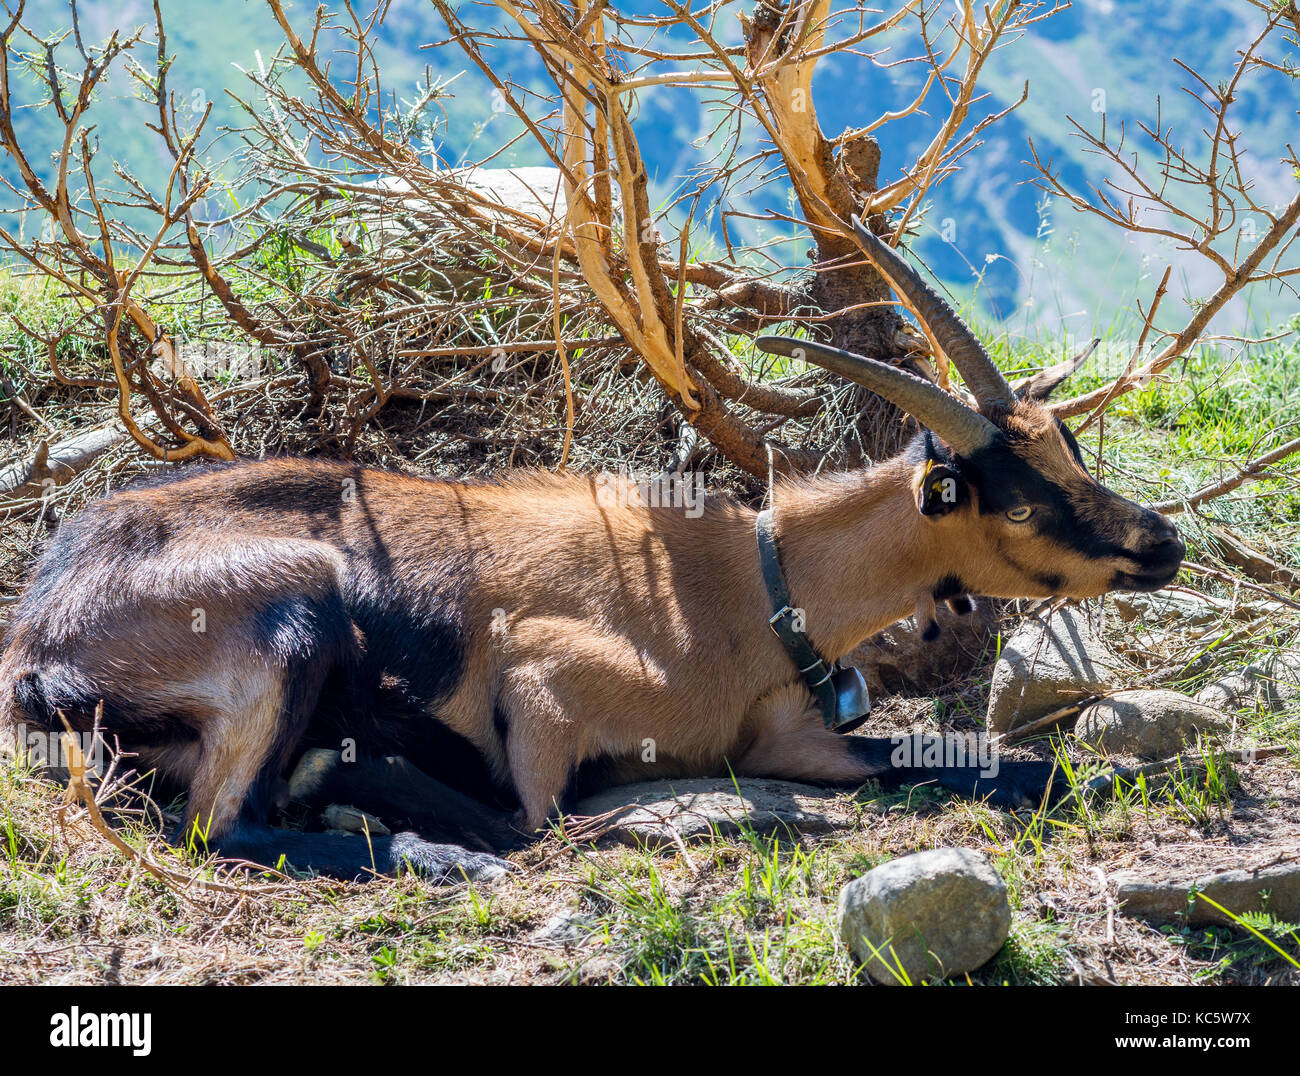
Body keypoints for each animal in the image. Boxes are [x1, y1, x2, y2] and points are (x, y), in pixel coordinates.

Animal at [0, 219, 1185, 882]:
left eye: (1070, 448)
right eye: (1019, 506)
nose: (1158, 546)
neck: (753, 585)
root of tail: (40, 641)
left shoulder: (799, 744)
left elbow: (987, 760)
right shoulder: (542, 686)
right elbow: (534, 815)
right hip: (291, 612)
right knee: (224, 826)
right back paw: (416, 838)